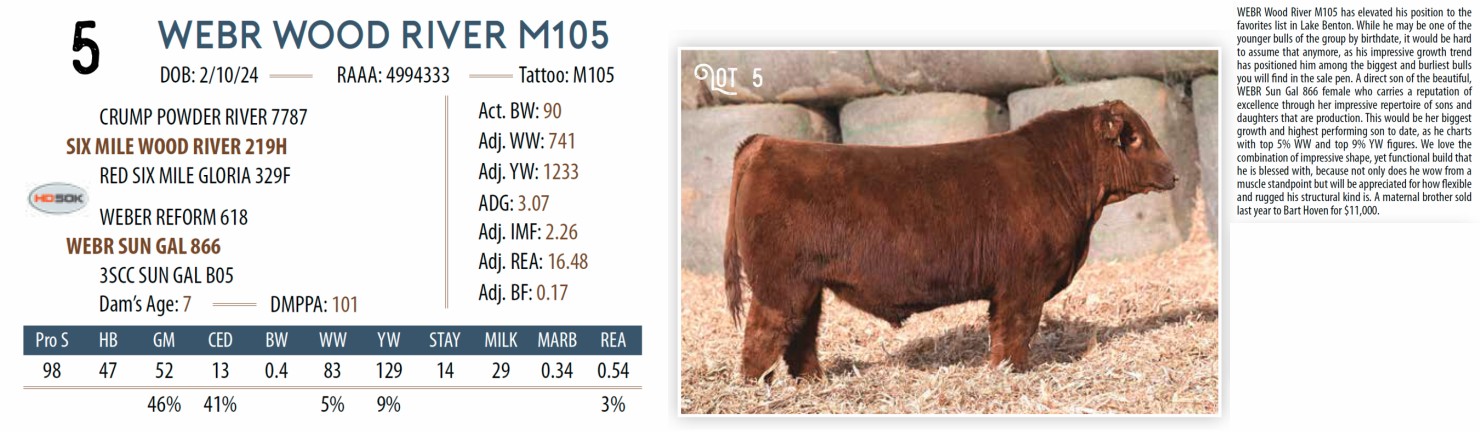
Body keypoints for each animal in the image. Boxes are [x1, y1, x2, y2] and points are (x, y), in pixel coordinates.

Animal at [722, 100, 1177, 382]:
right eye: (1134, 138)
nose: (1173, 173)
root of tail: (767, 143)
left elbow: (1003, 330)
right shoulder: (1023, 283)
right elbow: (1017, 329)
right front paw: (1012, 371)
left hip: (806, 286)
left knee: (801, 335)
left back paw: (813, 382)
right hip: (781, 286)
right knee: (764, 334)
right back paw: (757, 389)